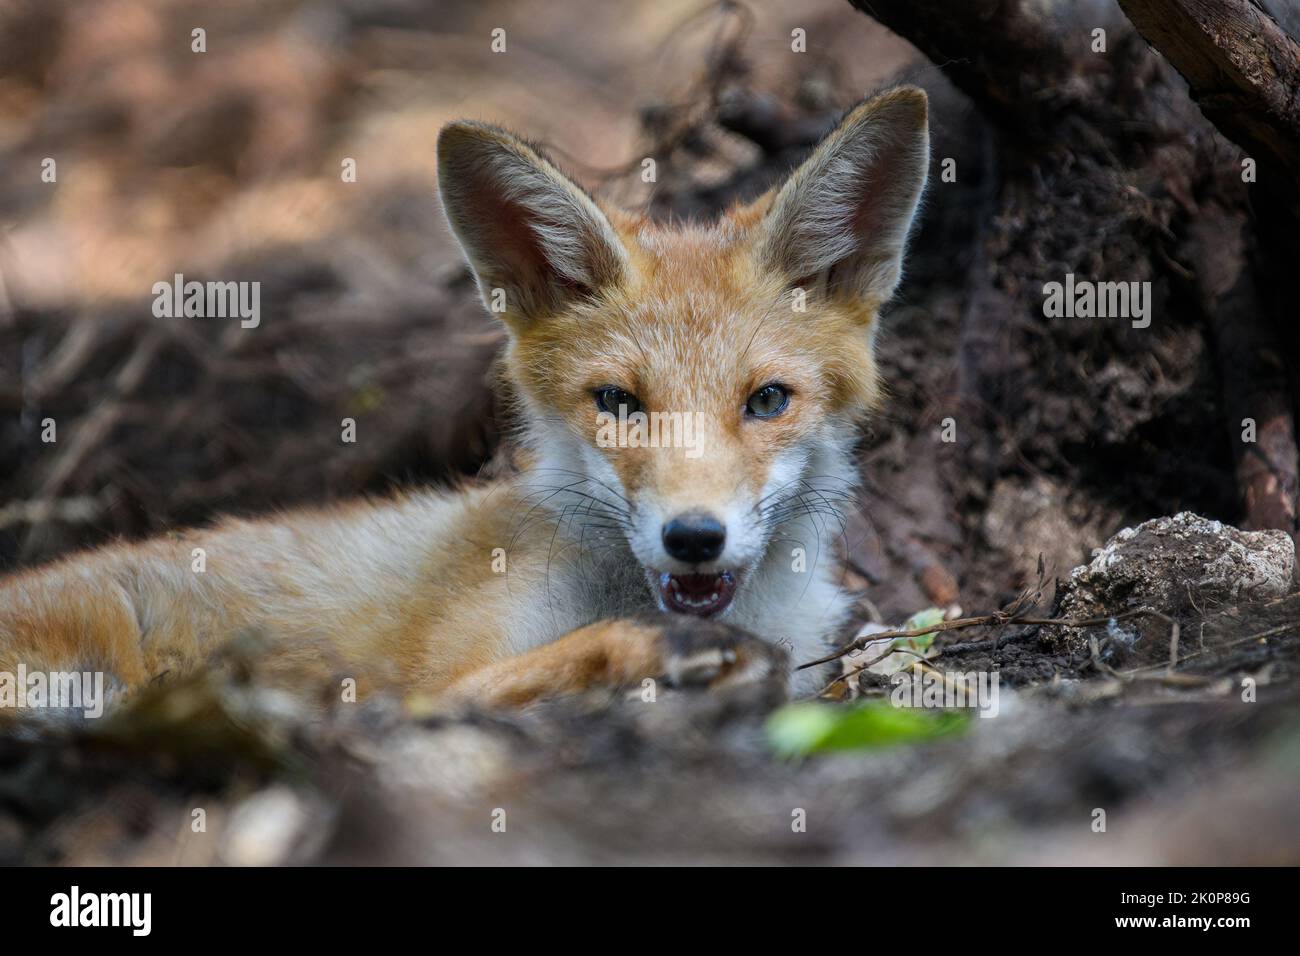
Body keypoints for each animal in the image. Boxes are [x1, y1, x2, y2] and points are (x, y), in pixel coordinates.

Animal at [0, 87, 930, 715]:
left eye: (768, 400)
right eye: (617, 401)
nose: (694, 538)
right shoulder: (431, 690)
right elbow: (530, 669)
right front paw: (659, 652)